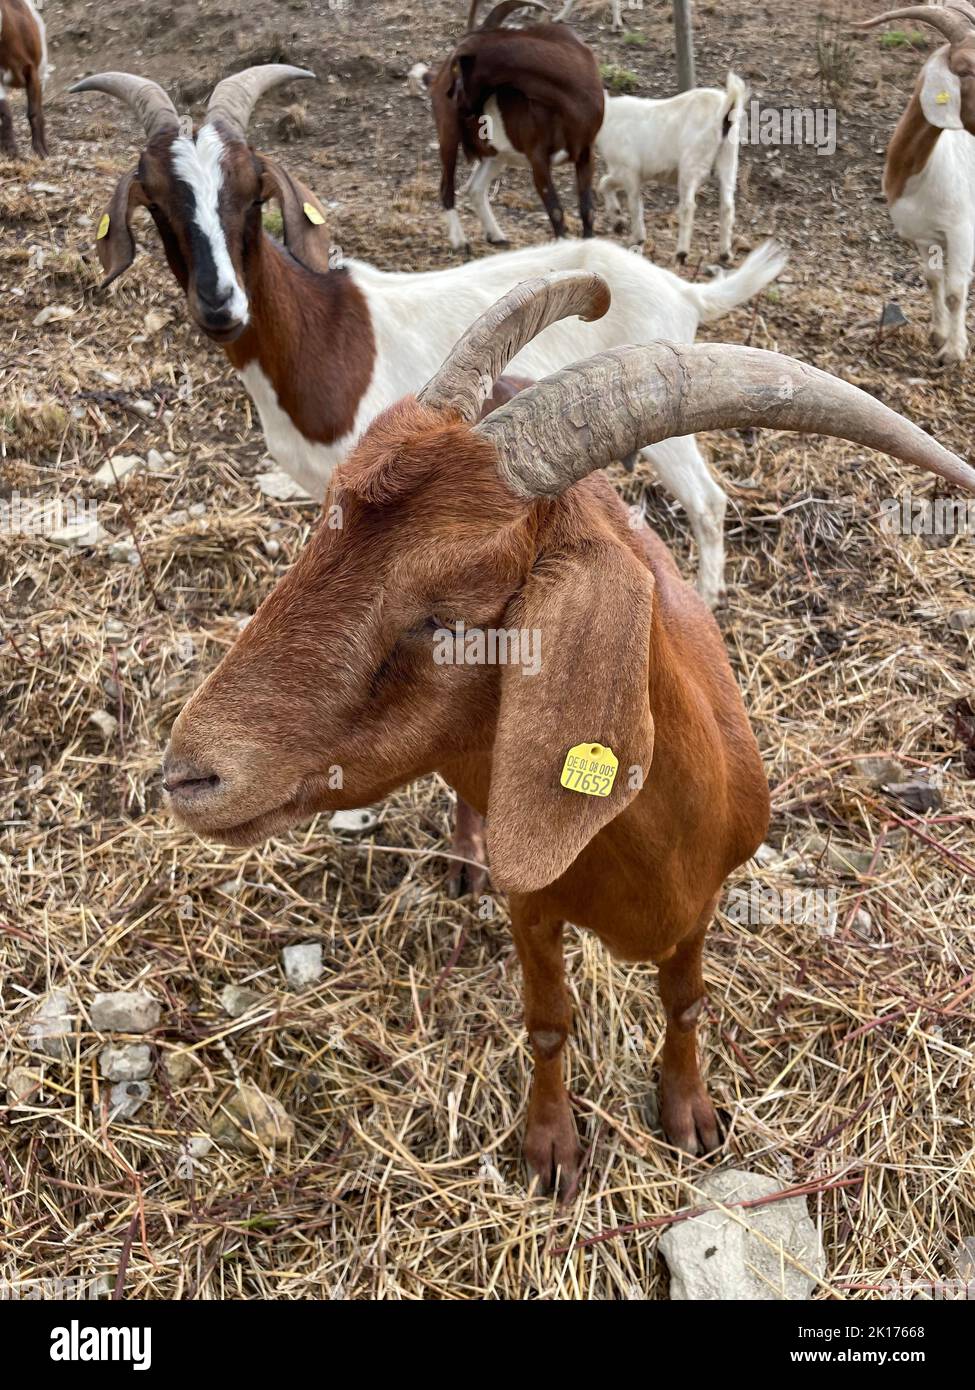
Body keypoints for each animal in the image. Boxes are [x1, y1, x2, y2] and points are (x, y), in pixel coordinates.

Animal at [161, 273, 974, 1196]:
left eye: (447, 616)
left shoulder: (703, 903)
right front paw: (551, 1148)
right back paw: (468, 859)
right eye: (317, 533)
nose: (190, 774)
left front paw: (689, 1115)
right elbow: (549, 1020)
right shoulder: (533, 910)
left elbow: (685, 1002)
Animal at [430, 1, 604, 248]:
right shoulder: (537, 156)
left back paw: (496, 235)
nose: (451, 96)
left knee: (475, 188)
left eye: (458, 68)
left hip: (496, 154)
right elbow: (556, 211)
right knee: (446, 185)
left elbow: (588, 211)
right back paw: (460, 242)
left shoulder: (585, 153)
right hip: (449, 134)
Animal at [597, 74, 747, 263]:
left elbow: (633, 203)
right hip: (728, 159)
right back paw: (725, 254)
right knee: (727, 206)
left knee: (688, 206)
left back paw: (681, 253)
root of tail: (725, 109)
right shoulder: (625, 172)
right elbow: (604, 183)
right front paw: (618, 222)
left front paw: (636, 238)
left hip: (691, 164)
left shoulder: (628, 170)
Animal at [857, 3, 975, 362]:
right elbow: (933, 281)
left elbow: (955, 290)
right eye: (967, 68)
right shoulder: (923, 235)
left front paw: (953, 352)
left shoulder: (961, 230)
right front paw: (938, 335)